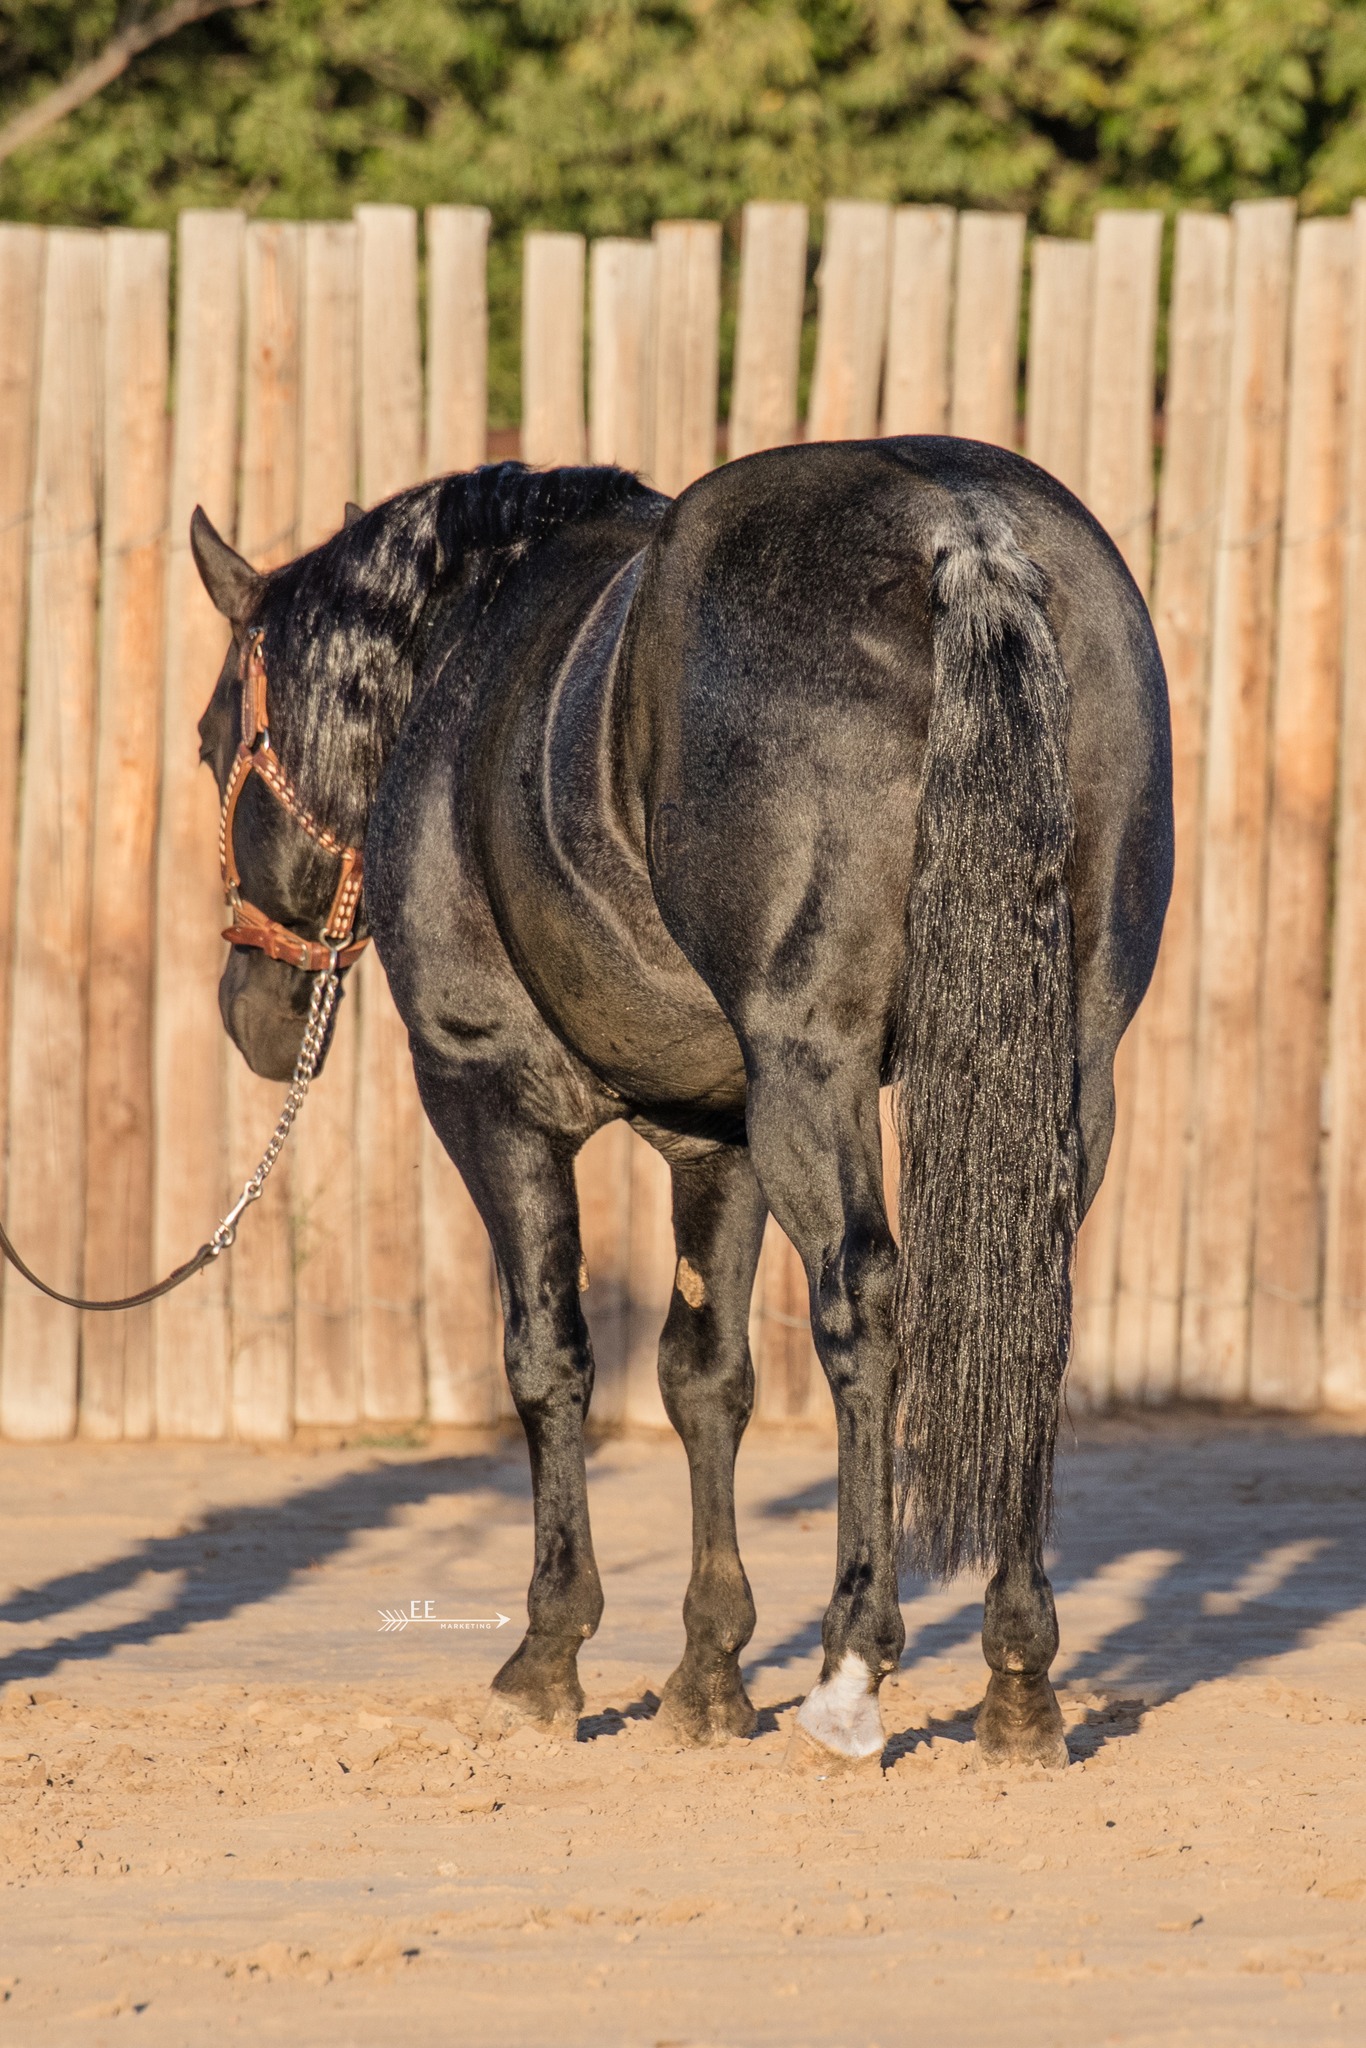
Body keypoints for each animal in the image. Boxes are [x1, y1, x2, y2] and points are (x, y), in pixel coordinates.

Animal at [191, 442, 1172, 1770]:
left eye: (212, 744)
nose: (249, 1010)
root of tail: (965, 532)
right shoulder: (719, 1134)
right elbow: (704, 1374)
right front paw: (708, 1671)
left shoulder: (484, 1088)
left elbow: (549, 1355)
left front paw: (549, 1652)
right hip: (1069, 1063)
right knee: (1025, 1308)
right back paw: (1018, 1677)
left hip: (812, 1067)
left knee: (865, 1299)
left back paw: (852, 1668)